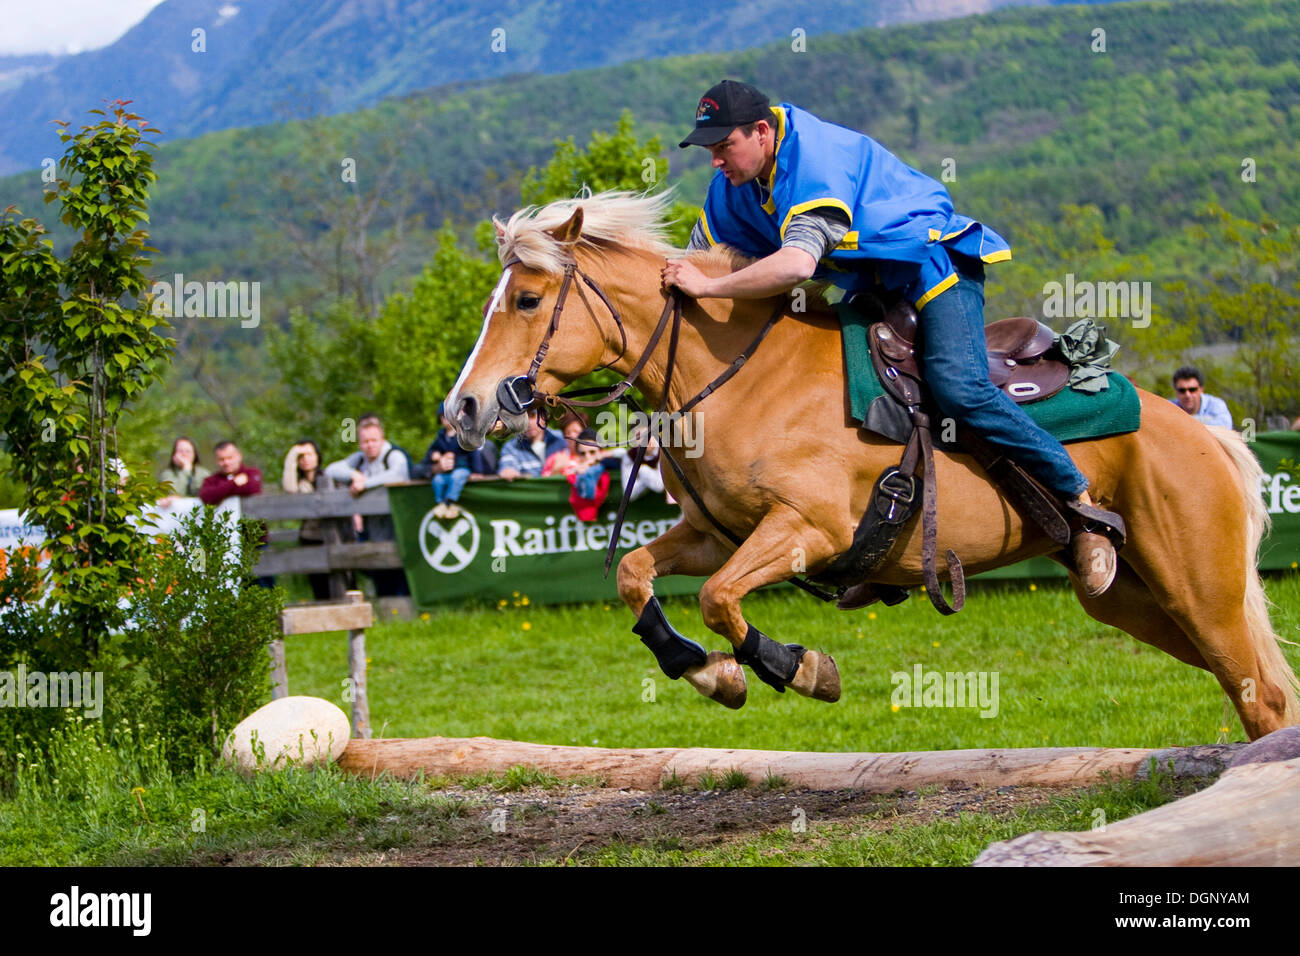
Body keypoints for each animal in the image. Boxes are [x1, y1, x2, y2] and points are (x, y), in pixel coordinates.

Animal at [447, 190, 1299, 741]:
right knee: (1254, 688)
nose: (465, 409)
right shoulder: (718, 534)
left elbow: (721, 600)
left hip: (1200, 588)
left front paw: (795, 667)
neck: (737, 375)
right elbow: (635, 576)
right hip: (1135, 600)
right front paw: (710, 672)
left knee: (1261, 697)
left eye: (527, 300)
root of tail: (1206, 437)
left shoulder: (807, 530)